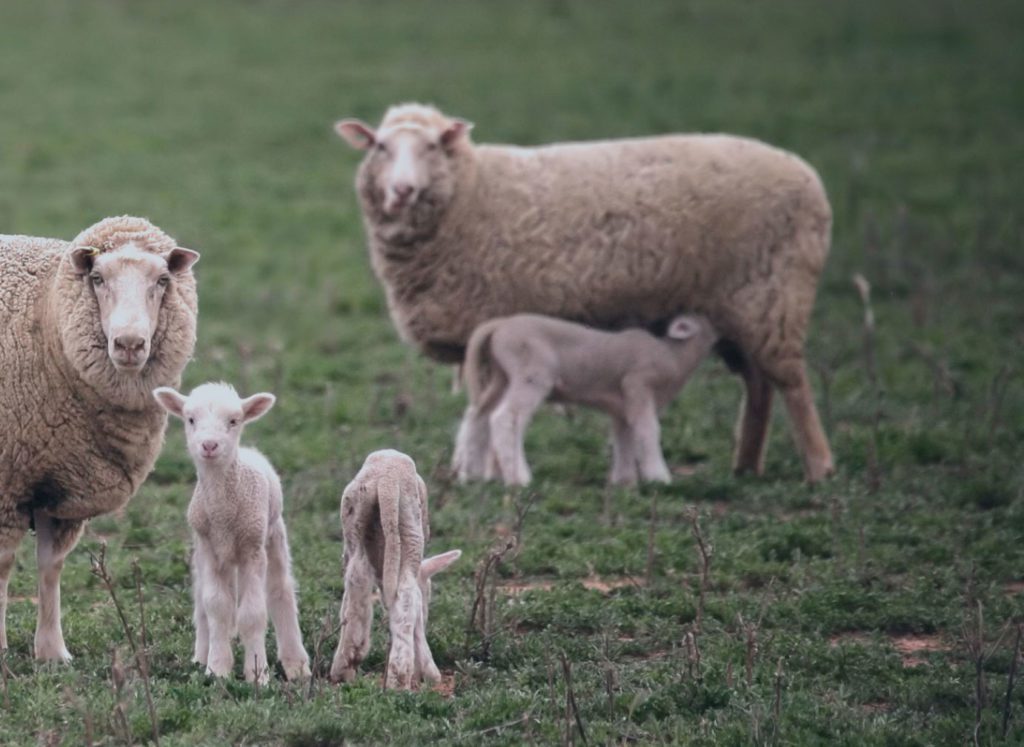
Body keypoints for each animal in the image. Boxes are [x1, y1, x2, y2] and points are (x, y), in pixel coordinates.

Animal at [0, 216, 199, 661]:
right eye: (97, 278)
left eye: (162, 280)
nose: (129, 344)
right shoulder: (6, 484)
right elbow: (2, 565)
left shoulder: (63, 484)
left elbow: (50, 566)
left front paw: (53, 652)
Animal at [153, 383, 310, 684]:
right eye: (190, 419)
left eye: (234, 421)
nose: (209, 445)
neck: (224, 515)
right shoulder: (210, 548)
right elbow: (216, 607)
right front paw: (217, 669)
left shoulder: (252, 548)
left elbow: (253, 613)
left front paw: (258, 674)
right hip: (206, 556)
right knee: (202, 601)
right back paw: (200, 655)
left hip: (273, 535)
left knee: (281, 591)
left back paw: (296, 664)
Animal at [330, 450, 461, 690]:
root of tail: (386, 480)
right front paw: (429, 672)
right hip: (410, 528)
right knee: (407, 595)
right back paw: (398, 681)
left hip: (355, 521)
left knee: (357, 582)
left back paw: (345, 666)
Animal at [454, 313, 718, 486]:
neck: (674, 355)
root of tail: (499, 324)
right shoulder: (637, 385)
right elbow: (648, 429)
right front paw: (658, 477)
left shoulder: (621, 404)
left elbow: (624, 434)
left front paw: (624, 480)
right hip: (532, 374)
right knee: (506, 417)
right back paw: (518, 478)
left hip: (501, 376)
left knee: (478, 414)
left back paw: (472, 473)